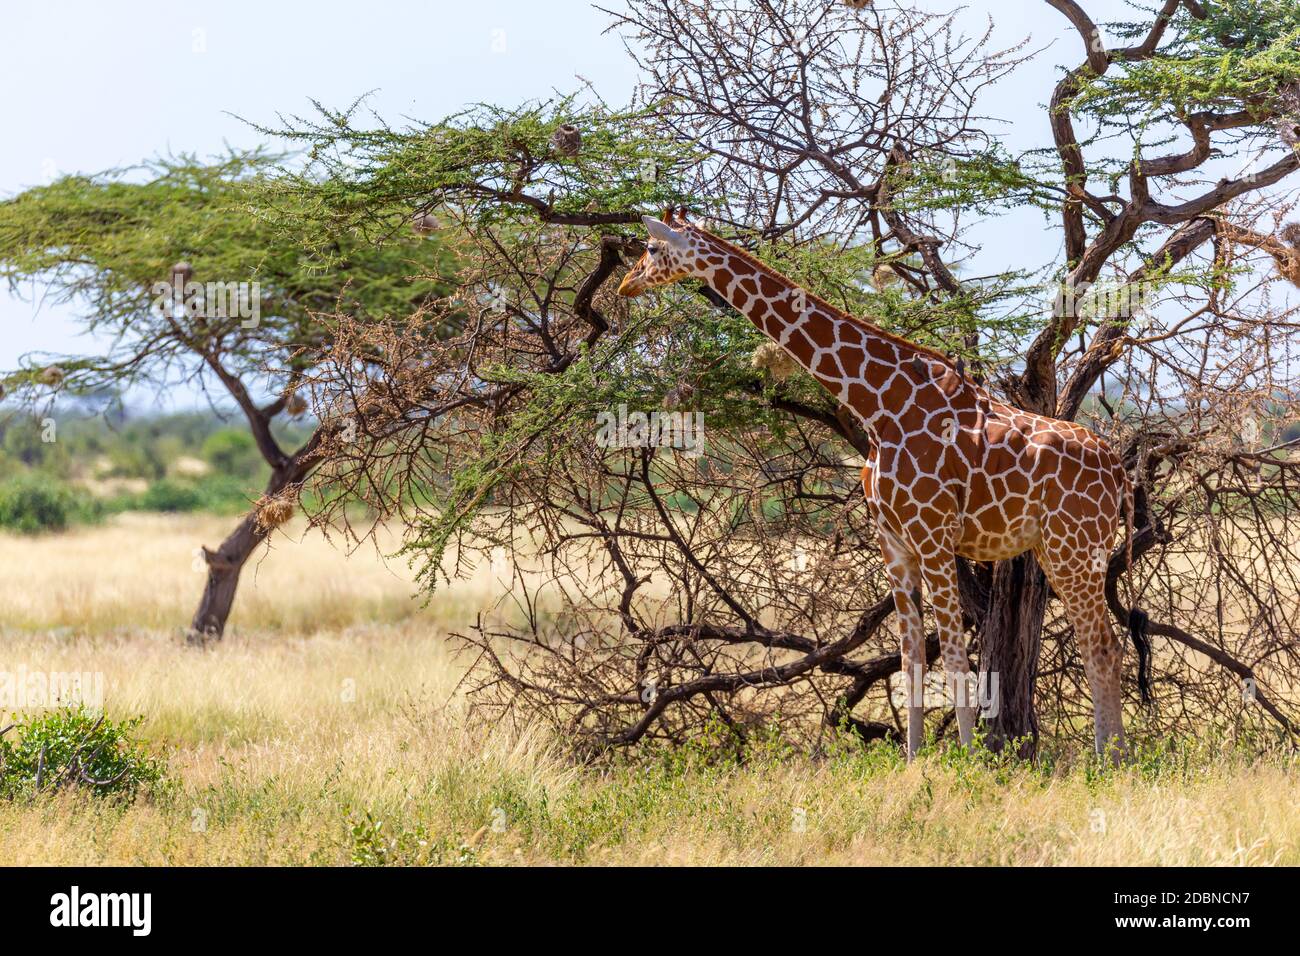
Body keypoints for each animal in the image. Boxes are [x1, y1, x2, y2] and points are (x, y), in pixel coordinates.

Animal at [617, 209, 1152, 761]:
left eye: (652, 249)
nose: (625, 282)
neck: (879, 408)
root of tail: (1117, 470)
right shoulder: (893, 542)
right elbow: (911, 656)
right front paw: (915, 761)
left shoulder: (935, 536)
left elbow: (954, 658)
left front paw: (969, 762)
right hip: (1054, 548)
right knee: (1098, 644)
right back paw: (1110, 756)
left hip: (1076, 548)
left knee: (1103, 646)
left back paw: (1111, 761)